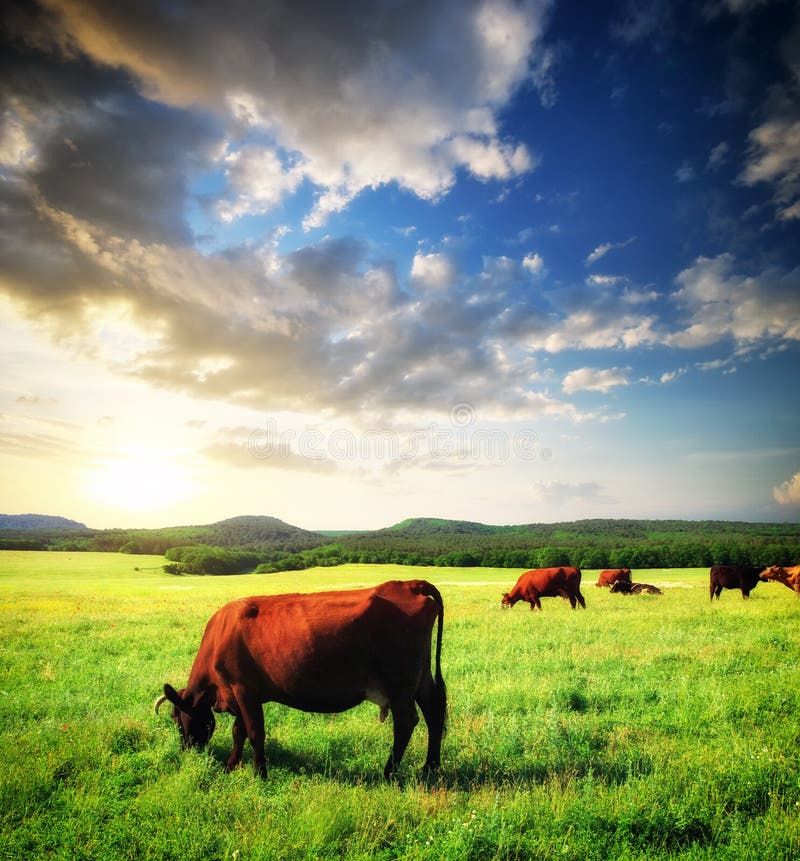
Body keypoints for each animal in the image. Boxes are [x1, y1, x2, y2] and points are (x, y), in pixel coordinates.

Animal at [154, 579, 446, 780]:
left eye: (176, 718)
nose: (186, 750)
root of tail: (409, 584)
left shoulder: (243, 689)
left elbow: (254, 732)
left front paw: (260, 774)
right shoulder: (243, 694)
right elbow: (239, 731)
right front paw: (231, 766)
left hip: (400, 682)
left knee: (406, 721)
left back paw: (388, 773)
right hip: (420, 677)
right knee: (434, 711)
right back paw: (429, 767)